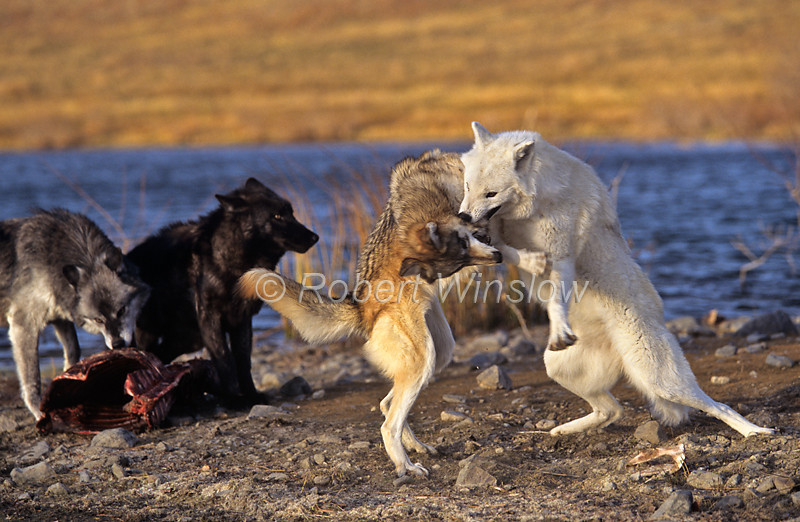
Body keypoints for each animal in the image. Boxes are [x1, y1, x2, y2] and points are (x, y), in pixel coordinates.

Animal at [0, 209, 150, 421]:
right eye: (98, 319)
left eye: (121, 310)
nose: (118, 344)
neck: (50, 256)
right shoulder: (24, 325)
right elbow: (32, 378)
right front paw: (40, 412)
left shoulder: (60, 318)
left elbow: (73, 351)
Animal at [128, 178, 318, 406]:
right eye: (276, 216)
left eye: (291, 213)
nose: (315, 237)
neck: (232, 264)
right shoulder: (211, 320)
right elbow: (225, 359)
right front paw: (234, 400)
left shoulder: (242, 320)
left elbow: (243, 362)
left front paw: (252, 396)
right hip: (156, 334)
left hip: (187, 339)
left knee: (159, 354)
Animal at [239, 151, 502, 477]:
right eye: (461, 249)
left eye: (462, 260)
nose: (497, 256)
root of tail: (362, 307)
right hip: (422, 360)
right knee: (389, 425)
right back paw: (406, 465)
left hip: (437, 353)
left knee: (388, 406)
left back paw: (415, 447)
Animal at [458, 122, 773, 438]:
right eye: (468, 186)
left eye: (491, 193)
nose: (463, 216)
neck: (536, 203)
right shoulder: (496, 233)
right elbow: (501, 249)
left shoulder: (562, 257)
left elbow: (553, 293)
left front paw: (556, 321)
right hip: (556, 367)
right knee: (612, 410)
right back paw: (565, 429)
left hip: (663, 382)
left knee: (718, 405)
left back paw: (755, 431)